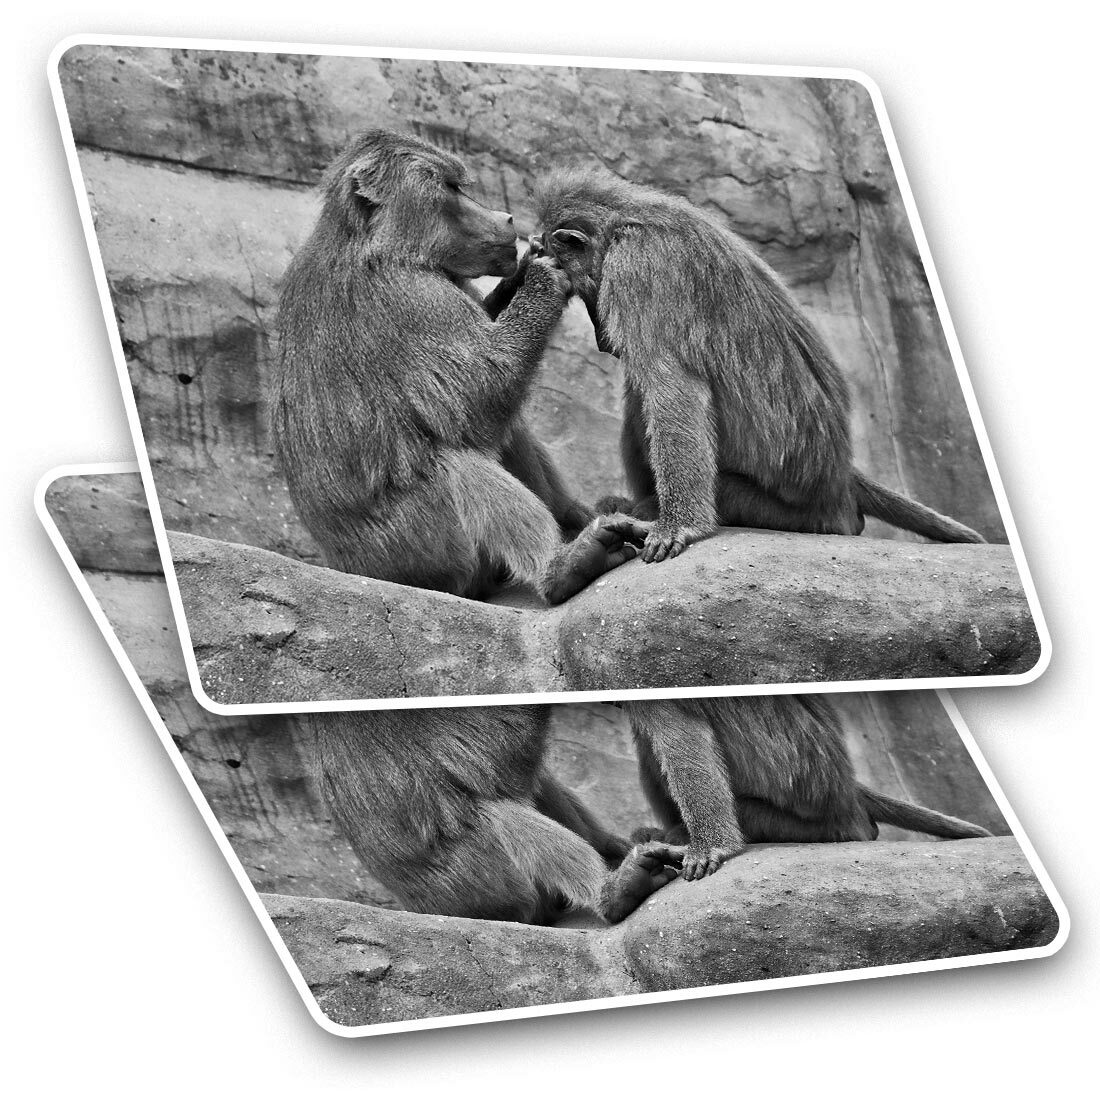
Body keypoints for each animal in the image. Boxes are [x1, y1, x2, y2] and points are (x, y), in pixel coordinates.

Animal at [273, 132, 647, 604]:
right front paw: (541, 278)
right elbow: (480, 396)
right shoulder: (411, 299)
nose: (507, 219)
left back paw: (577, 518)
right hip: (420, 551)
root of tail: (351, 568)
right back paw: (563, 567)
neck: (371, 242)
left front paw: (519, 276)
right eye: (450, 188)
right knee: (459, 460)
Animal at [532, 167, 985, 564]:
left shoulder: (637, 271)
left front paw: (679, 525)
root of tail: (839, 476)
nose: (602, 340)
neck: (620, 222)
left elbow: (674, 388)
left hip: (775, 505)